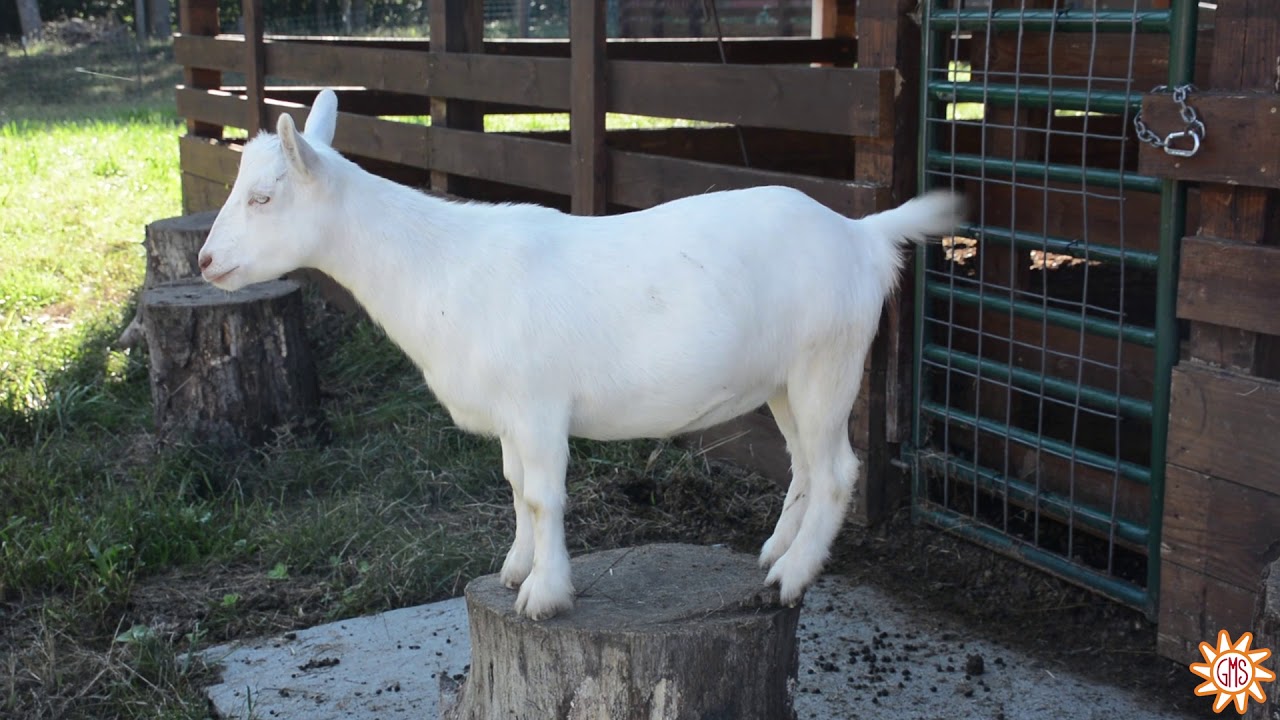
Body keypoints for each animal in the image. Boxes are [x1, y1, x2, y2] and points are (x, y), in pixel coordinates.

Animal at [198, 89, 961, 620]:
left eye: (262, 197)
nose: (206, 261)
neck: (440, 266)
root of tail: (863, 234)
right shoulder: (512, 414)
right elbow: (514, 488)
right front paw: (515, 568)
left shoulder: (538, 405)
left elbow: (542, 495)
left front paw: (545, 594)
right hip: (785, 378)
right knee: (803, 461)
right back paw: (776, 551)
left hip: (828, 361)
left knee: (836, 471)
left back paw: (791, 576)